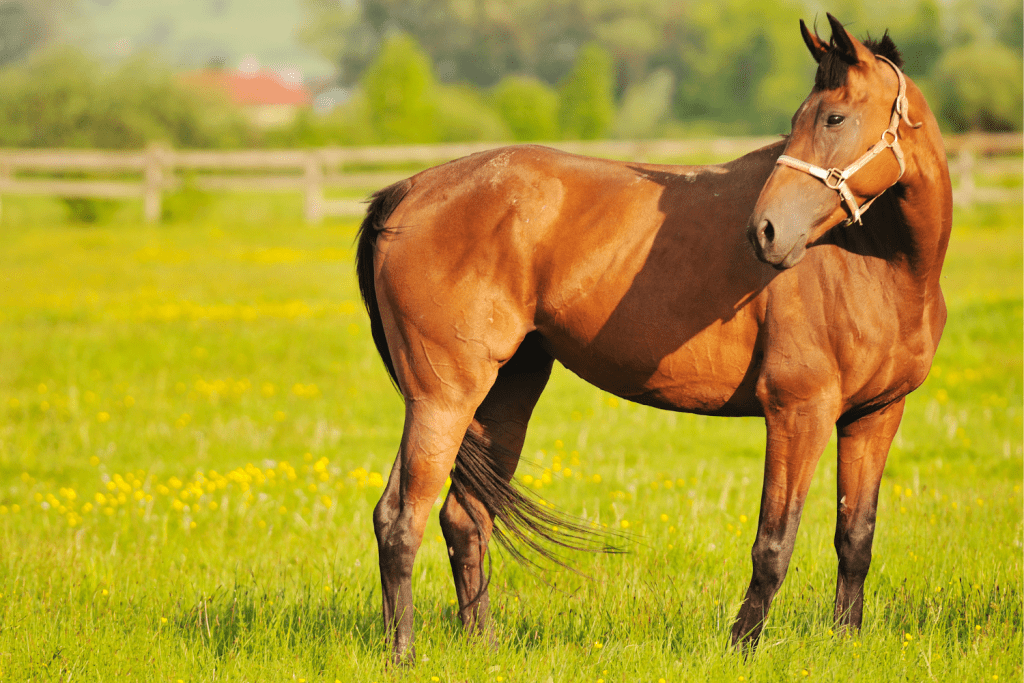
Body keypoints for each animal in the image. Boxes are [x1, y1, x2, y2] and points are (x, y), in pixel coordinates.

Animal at [355, 14, 951, 662]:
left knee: (464, 518)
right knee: (400, 518)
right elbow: (774, 543)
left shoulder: (875, 415)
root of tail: (408, 192)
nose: (765, 232)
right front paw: (740, 647)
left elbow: (855, 537)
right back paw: (403, 653)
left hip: (503, 392)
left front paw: (845, 641)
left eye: (833, 118)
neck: (877, 263)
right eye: (802, 118)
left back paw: (482, 645)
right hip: (442, 398)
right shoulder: (799, 412)